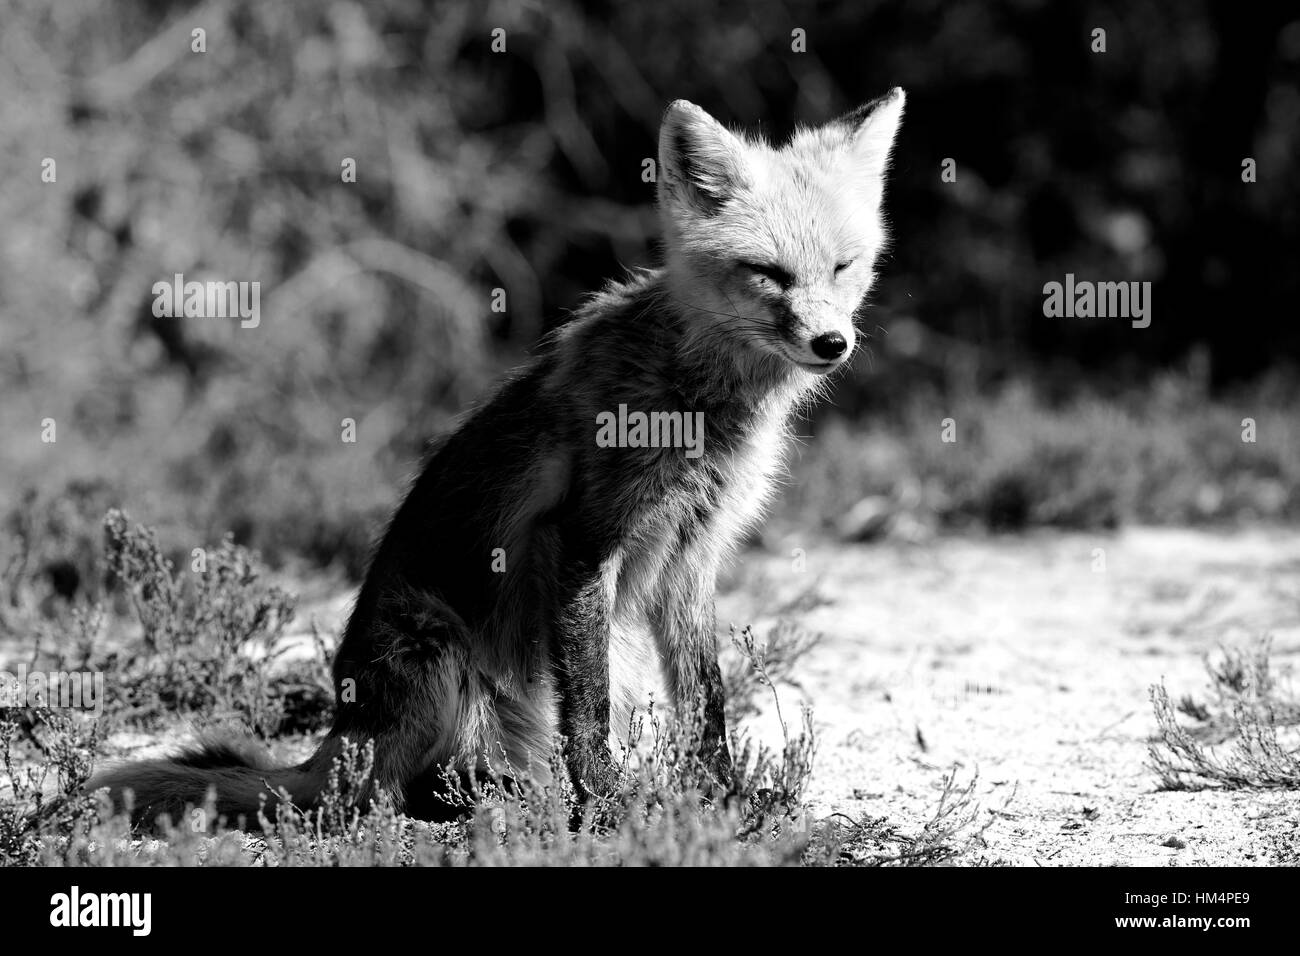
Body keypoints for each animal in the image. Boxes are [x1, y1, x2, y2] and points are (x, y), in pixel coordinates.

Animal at [85, 88, 907, 826]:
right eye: (769, 273)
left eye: (844, 266)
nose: (832, 344)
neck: (697, 400)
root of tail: (337, 737)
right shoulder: (580, 540)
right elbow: (588, 717)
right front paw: (610, 809)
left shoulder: (693, 557)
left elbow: (706, 702)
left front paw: (726, 796)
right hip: (437, 651)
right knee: (382, 796)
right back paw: (490, 802)